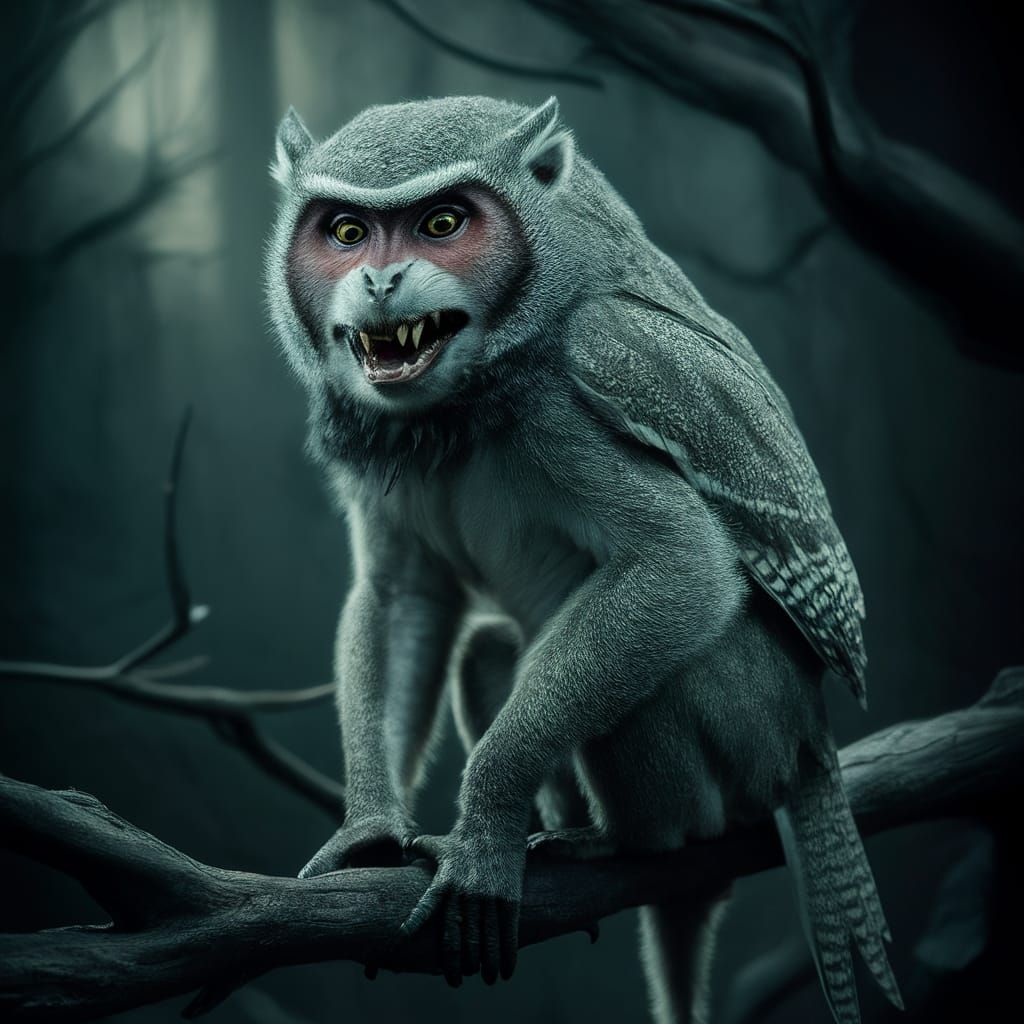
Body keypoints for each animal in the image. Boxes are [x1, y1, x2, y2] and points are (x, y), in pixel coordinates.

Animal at [267, 95, 903, 1024]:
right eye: (347, 231)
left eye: (442, 222)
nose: (381, 281)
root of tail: (811, 747)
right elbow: (400, 597)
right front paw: (370, 829)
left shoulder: (588, 388)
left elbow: (681, 563)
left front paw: (484, 833)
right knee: (488, 653)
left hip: (751, 732)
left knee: (664, 674)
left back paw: (615, 840)